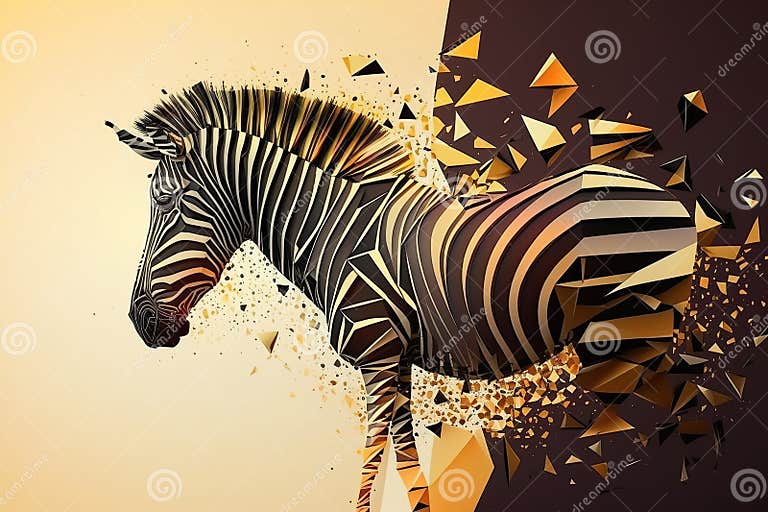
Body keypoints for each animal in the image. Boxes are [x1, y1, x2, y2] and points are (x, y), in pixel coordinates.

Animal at [107, 82, 696, 511]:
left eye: (167, 202)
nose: (139, 321)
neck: (334, 231)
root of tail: (667, 192)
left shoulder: (375, 359)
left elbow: (372, 461)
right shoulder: (397, 364)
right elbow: (408, 462)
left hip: (627, 336)